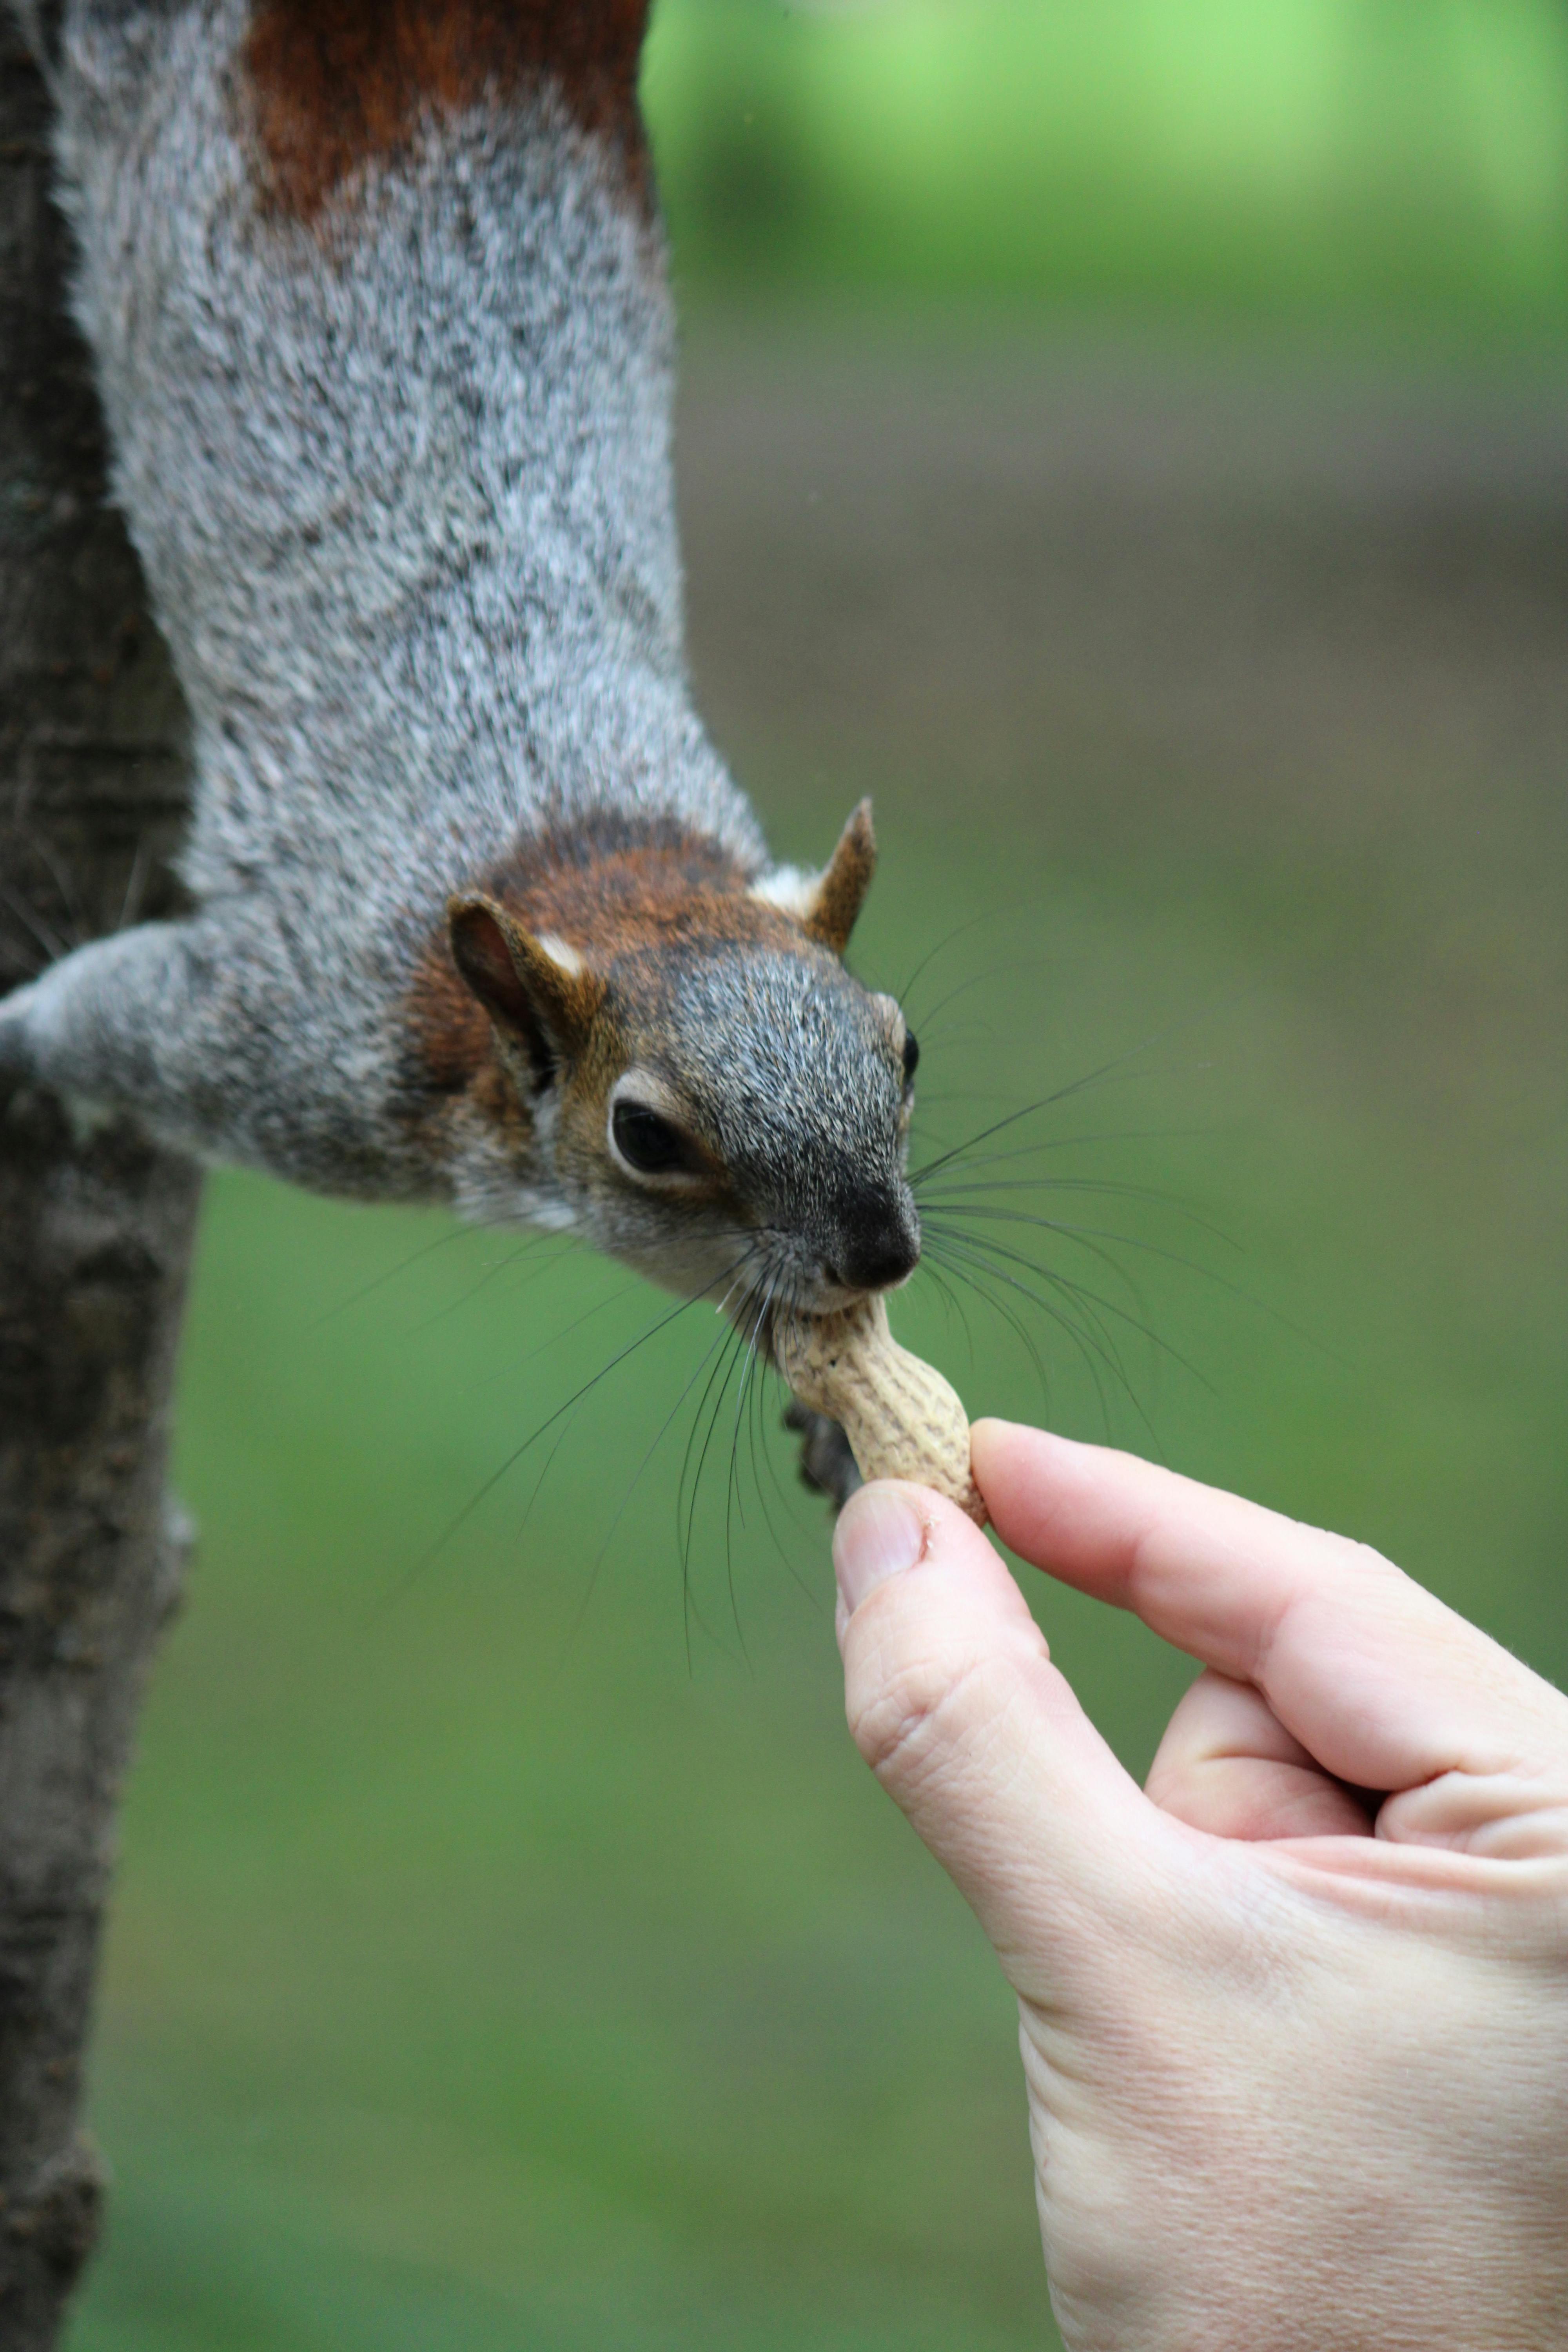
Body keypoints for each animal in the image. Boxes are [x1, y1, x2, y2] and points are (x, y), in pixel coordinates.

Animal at [1, 0, 921, 1504]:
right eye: (645, 1136)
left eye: (903, 1049)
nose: (882, 1252)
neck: (606, 864)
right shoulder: (286, 1041)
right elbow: (99, 1018)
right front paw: (12, 1036)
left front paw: (843, 1412)